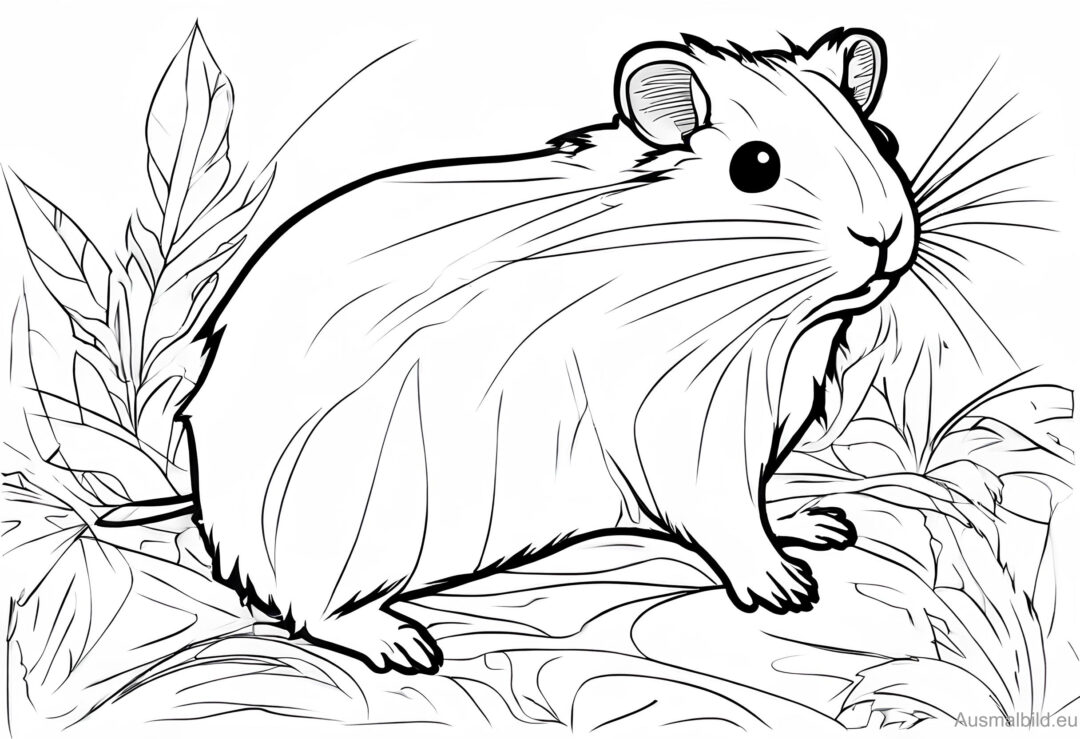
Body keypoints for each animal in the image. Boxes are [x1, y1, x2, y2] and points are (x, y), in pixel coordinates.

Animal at [182, 28, 918, 675]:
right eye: (755, 165)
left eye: (884, 139)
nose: (883, 235)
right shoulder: (683, 427)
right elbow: (727, 517)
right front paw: (785, 587)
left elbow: (760, 501)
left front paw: (824, 523)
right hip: (349, 531)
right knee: (312, 610)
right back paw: (404, 643)